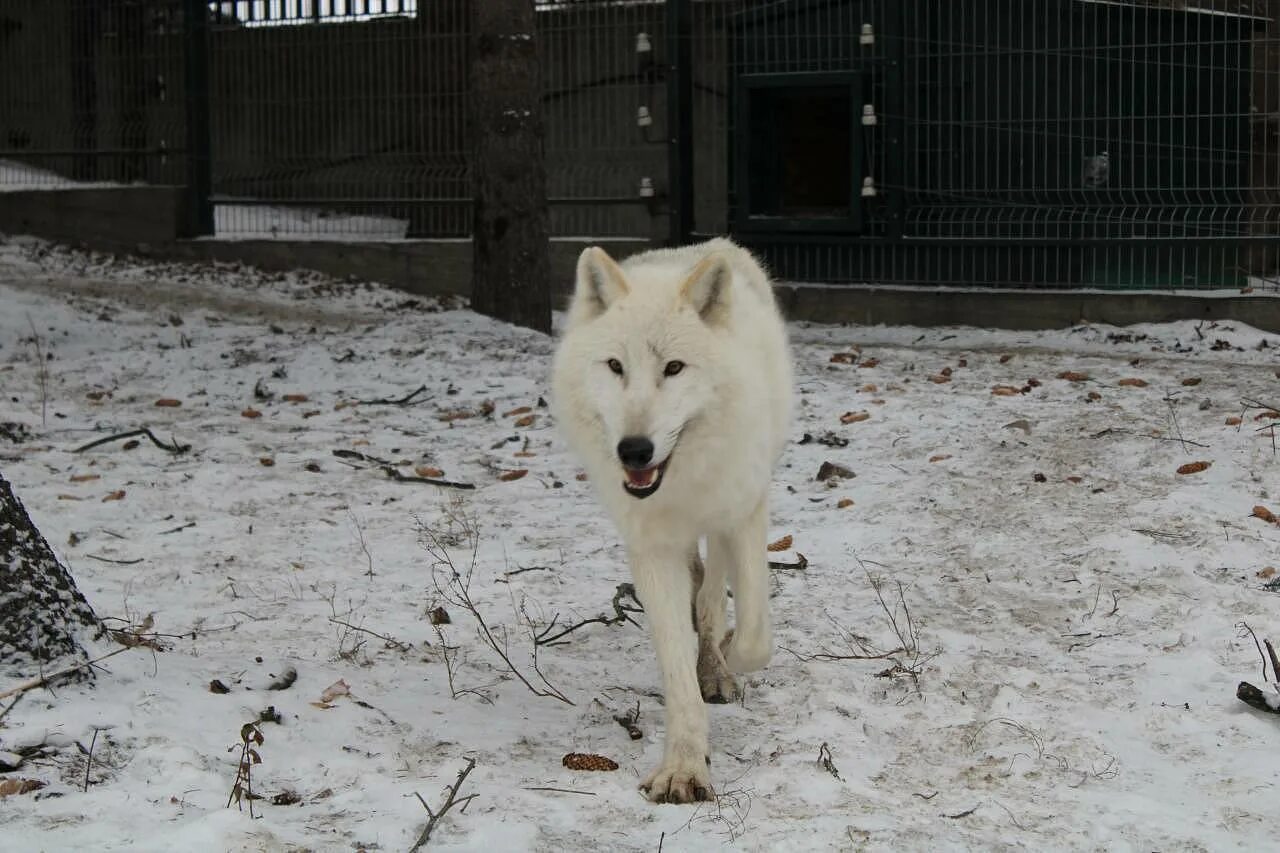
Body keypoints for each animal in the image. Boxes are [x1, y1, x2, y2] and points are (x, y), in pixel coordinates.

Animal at [550, 235, 788, 799]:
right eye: (615, 366)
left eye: (674, 368)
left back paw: (717, 663)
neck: (680, 479)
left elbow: (754, 635)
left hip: (726, 519)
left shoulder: (744, 512)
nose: (634, 450)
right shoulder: (652, 546)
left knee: (712, 593)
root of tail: (710, 243)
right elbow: (676, 666)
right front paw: (684, 765)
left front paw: (729, 658)